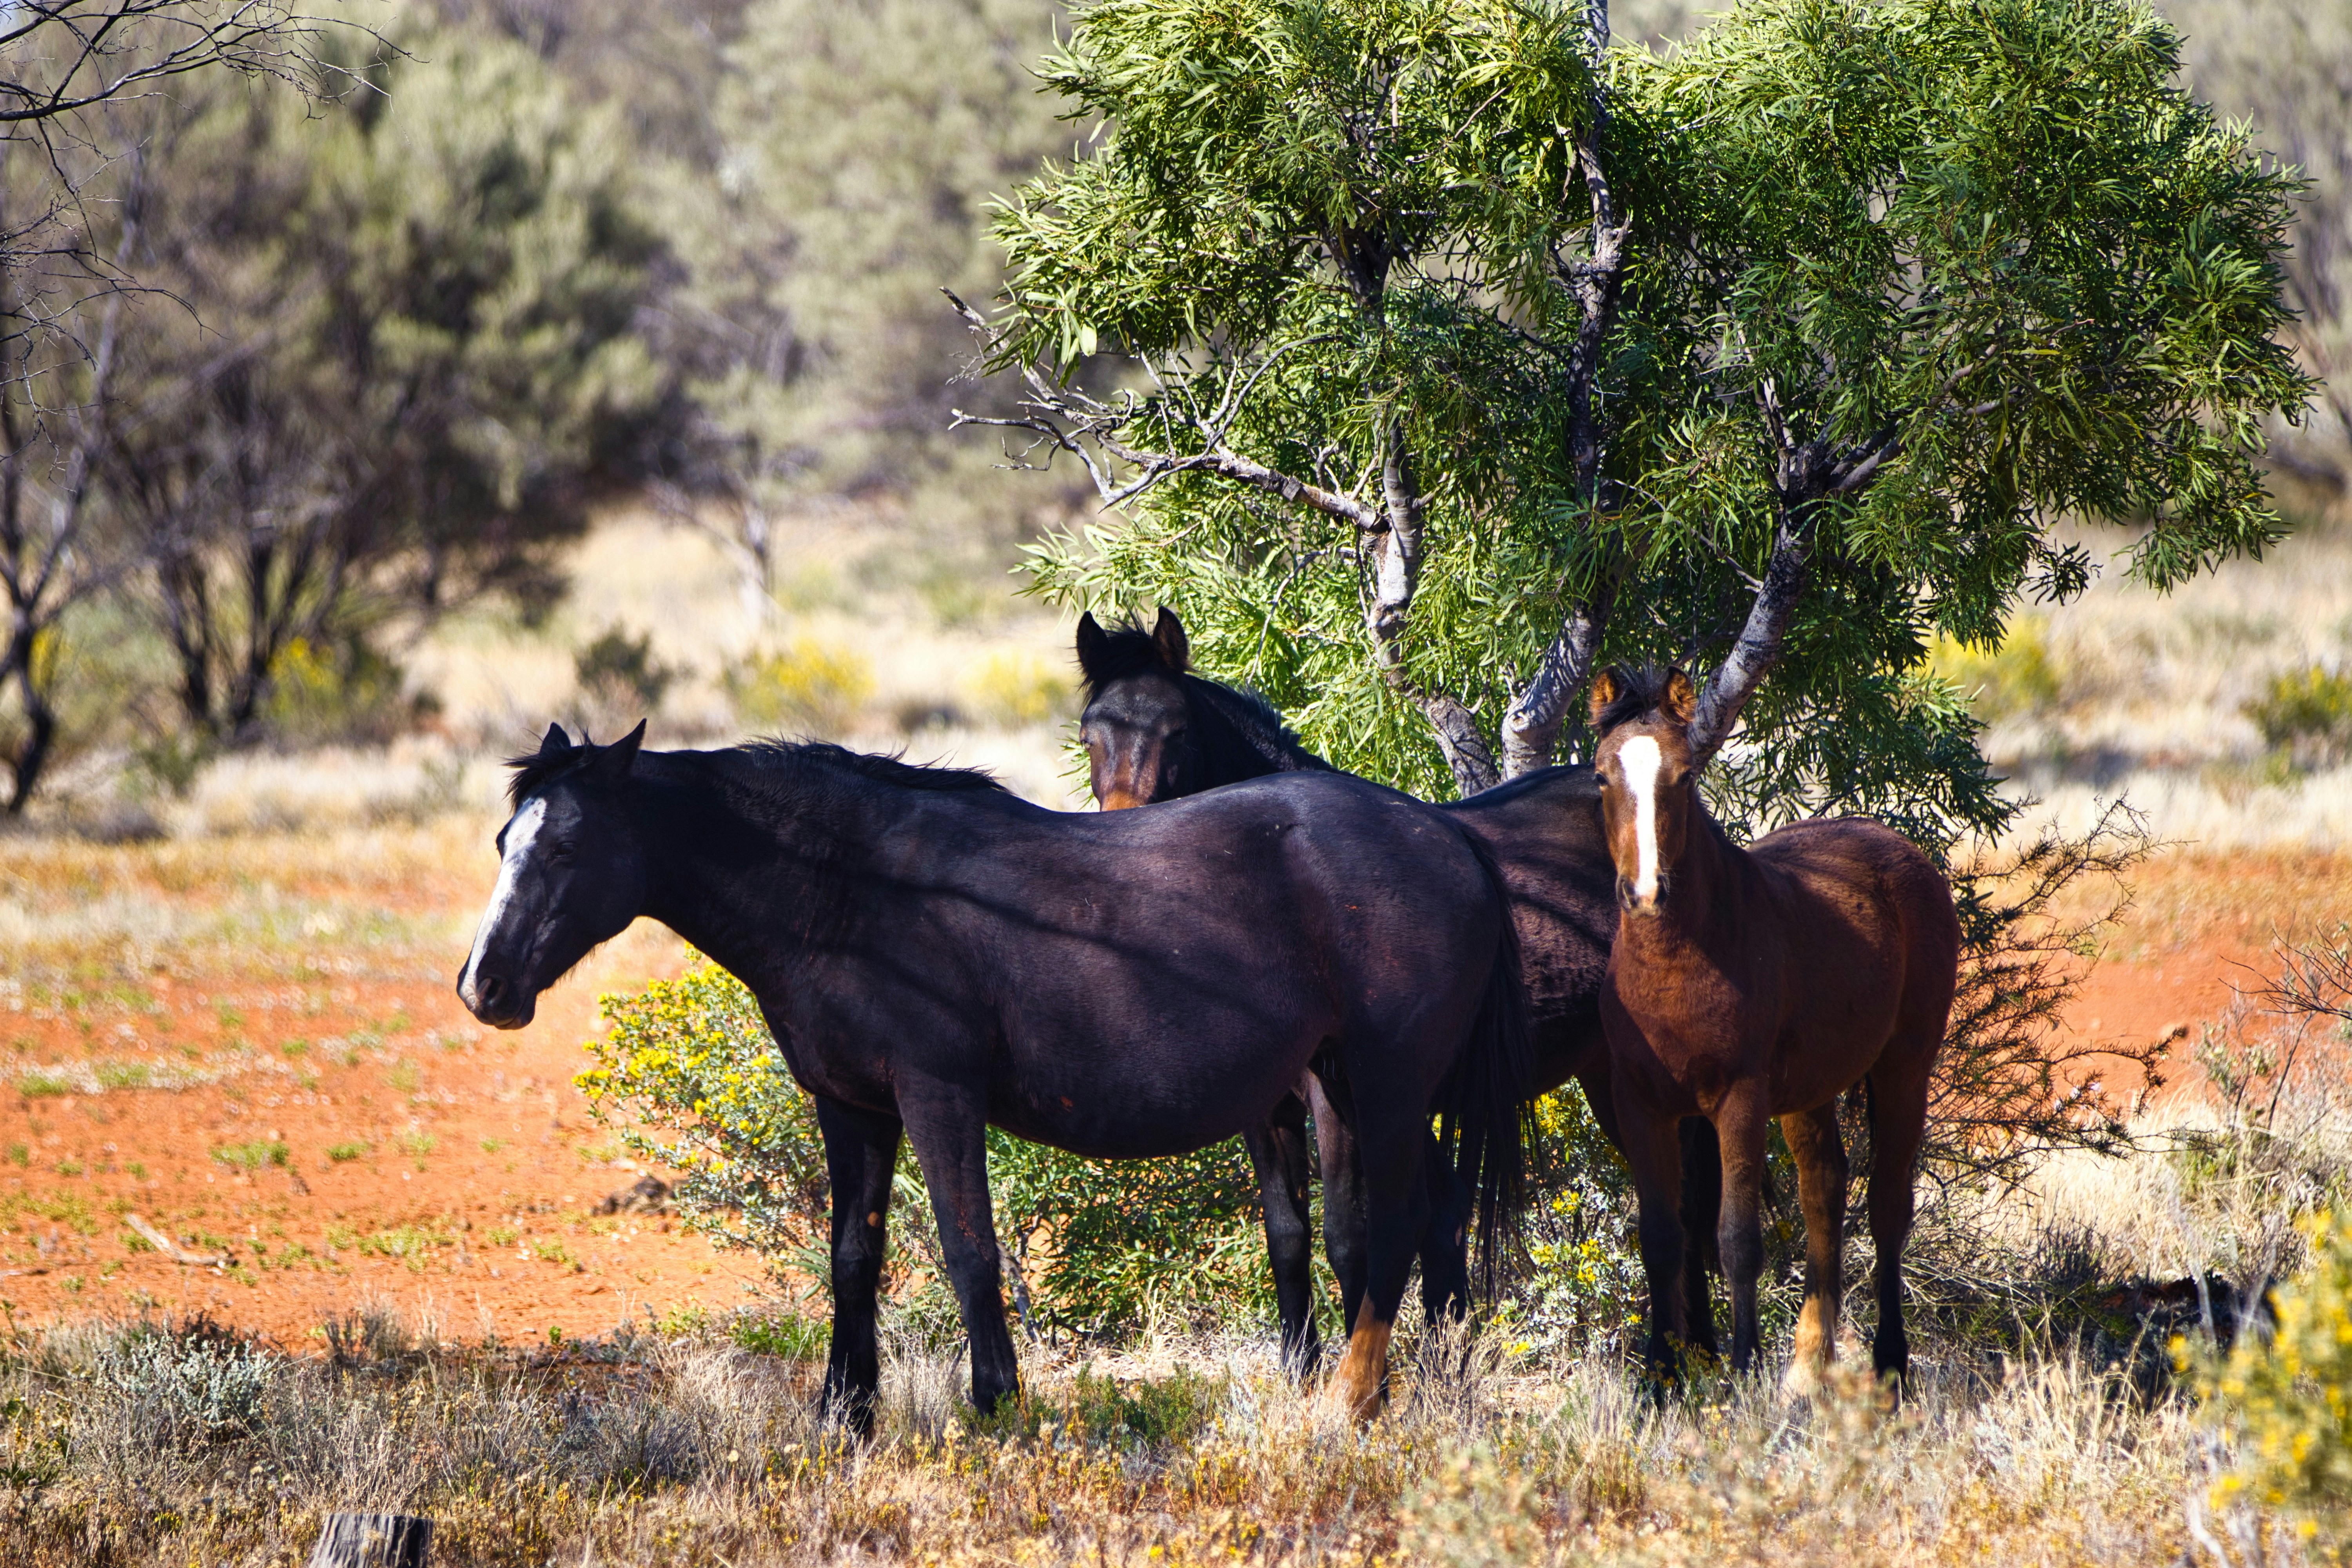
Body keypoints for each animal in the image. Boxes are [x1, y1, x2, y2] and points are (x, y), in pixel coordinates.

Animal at [456, 722, 1531, 1427]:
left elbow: (969, 1250)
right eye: (504, 841)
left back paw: (1361, 1397)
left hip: (1385, 1088)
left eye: (567, 843)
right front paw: (844, 1413)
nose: (484, 985)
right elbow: (853, 1257)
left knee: (1399, 1228)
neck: (853, 892)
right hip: (1348, 1087)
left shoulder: (938, 1095)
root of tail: (1451, 837)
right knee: (1414, 1229)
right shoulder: (850, 1106)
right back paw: (1430, 1393)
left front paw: (996, 1403)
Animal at [1074, 609, 1728, 1366]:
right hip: (1600, 1070)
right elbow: (1288, 1237)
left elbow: (1349, 1237)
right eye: (1090, 733)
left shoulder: (1340, 1097)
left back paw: (1686, 1362)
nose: (1121, 835)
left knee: (1679, 1206)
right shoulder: (1265, 1107)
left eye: (1177, 731)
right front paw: (1302, 1371)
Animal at [1586, 666, 1959, 1385]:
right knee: (1825, 1189)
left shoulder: (1738, 1100)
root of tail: (1898, 848)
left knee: (1888, 1206)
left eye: (1683, 776)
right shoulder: (1642, 1104)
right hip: (1810, 1090)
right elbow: (1662, 1238)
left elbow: (1736, 1239)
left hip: (1905, 1066)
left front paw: (1740, 1369)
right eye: (1600, 777)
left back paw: (1889, 1365)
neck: (1679, 960)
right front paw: (1660, 1380)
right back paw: (1808, 1367)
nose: (1645, 891)